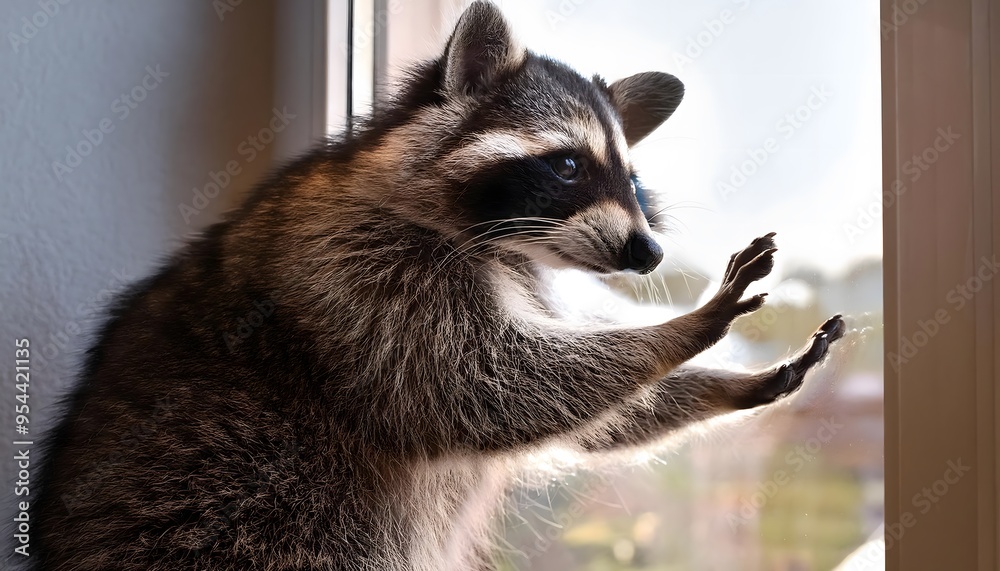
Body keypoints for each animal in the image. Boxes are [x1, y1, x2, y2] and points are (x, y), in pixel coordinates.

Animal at [30, 2, 845, 569]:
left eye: (635, 182)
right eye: (569, 166)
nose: (648, 253)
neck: (501, 246)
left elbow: (592, 415)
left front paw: (728, 381)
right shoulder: (350, 270)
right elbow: (475, 386)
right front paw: (689, 327)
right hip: (241, 523)